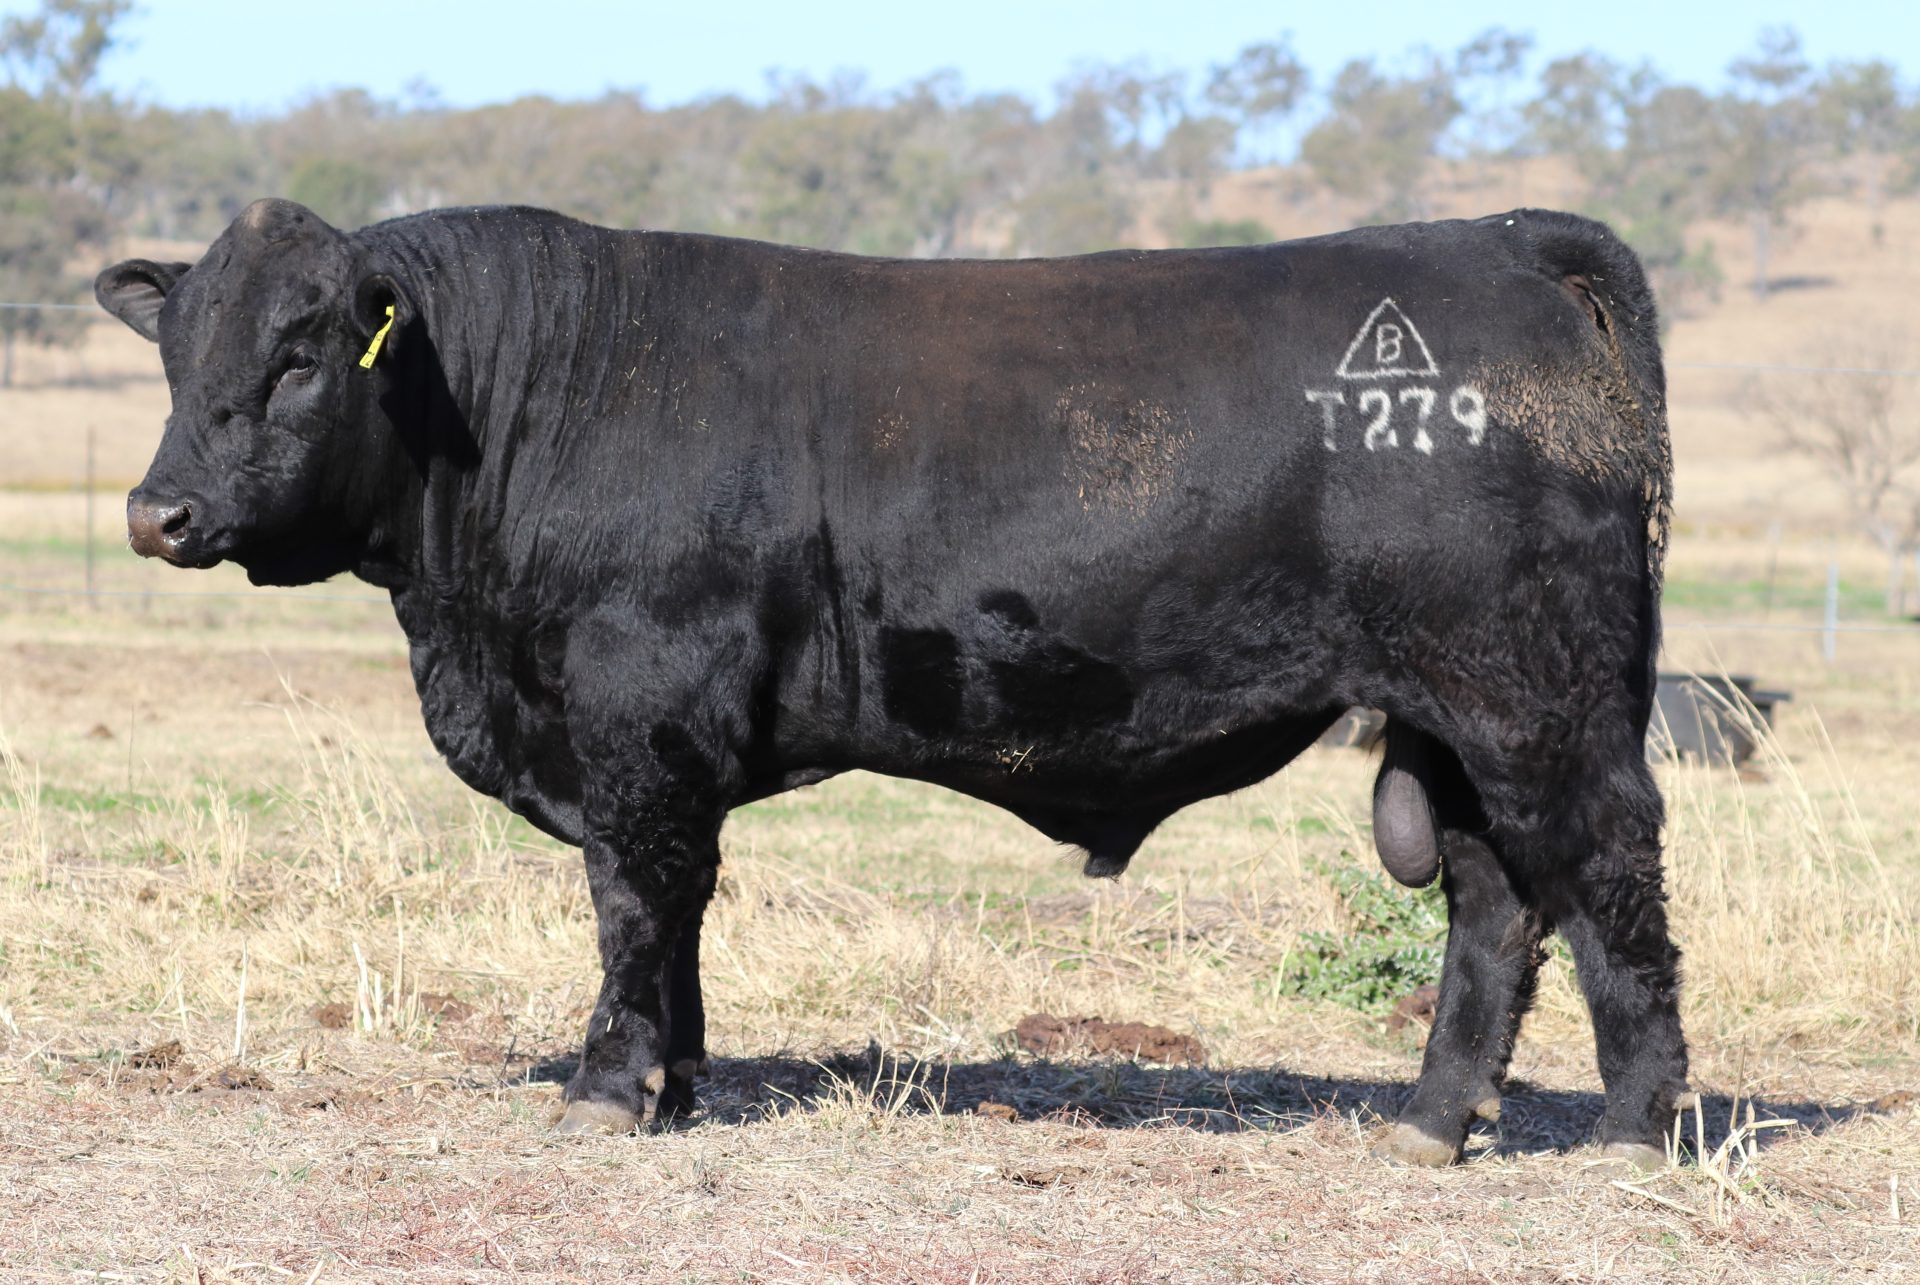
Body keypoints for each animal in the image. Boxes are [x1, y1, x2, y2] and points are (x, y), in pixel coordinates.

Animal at [96, 198, 1688, 1169]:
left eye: (302, 355)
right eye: (174, 352)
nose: (157, 513)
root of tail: (1509, 239)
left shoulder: (634, 716)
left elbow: (633, 901)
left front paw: (609, 1091)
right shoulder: (662, 746)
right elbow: (678, 914)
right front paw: (679, 1083)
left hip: (1538, 704)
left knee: (1608, 878)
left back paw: (1636, 1128)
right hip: (1457, 722)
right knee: (1493, 901)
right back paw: (1431, 1121)